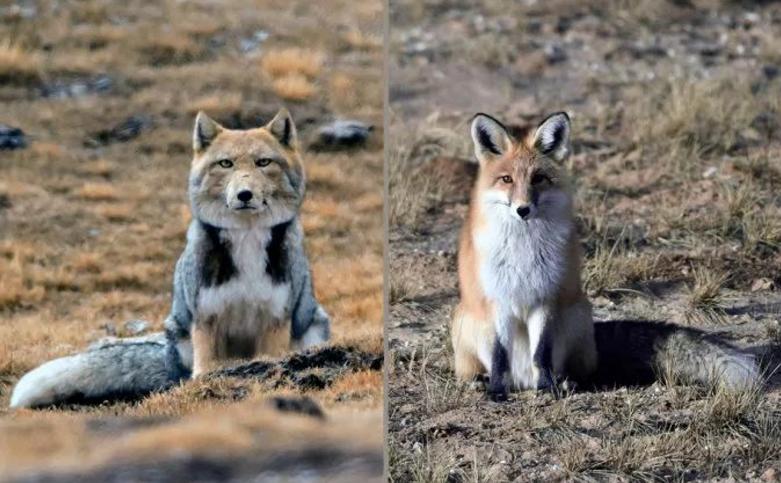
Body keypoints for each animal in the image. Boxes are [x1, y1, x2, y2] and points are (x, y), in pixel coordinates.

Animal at [10, 108, 330, 408]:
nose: (244, 194)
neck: (247, 243)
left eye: (263, 162)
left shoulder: (275, 320)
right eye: (225, 164)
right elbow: (204, 369)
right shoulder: (206, 318)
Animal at [452, 112, 760, 401]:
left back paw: (565, 381)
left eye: (538, 178)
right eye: (506, 180)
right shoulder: (499, 299)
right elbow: (499, 357)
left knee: (577, 370)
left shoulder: (547, 297)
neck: (523, 251)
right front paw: (496, 391)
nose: (522, 209)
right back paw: (480, 381)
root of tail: (522, 382)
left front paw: (548, 388)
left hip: (577, 314)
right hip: (464, 322)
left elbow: (541, 353)